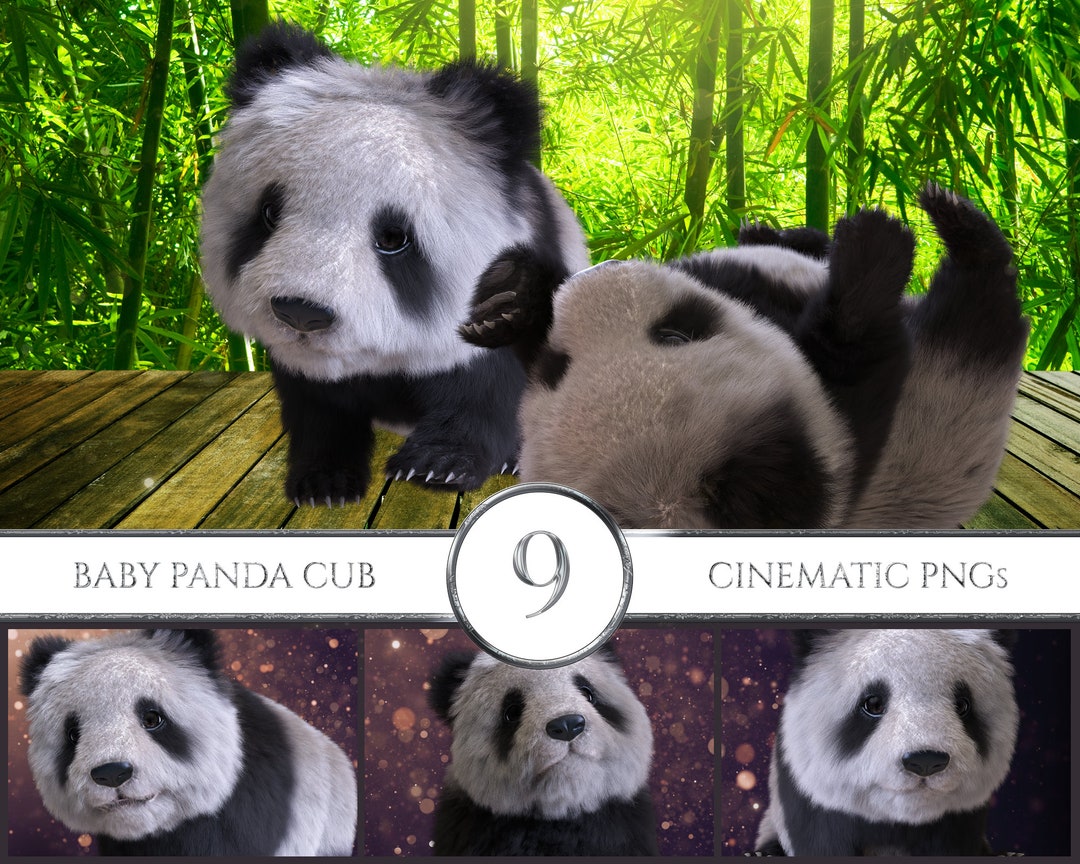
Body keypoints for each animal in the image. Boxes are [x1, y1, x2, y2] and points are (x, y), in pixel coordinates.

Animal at [199, 22, 590, 506]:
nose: (300, 313)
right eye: (269, 213)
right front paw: (324, 482)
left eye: (392, 238)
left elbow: (487, 390)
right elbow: (318, 410)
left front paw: (436, 464)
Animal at [461, 184, 1027, 528]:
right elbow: (858, 356)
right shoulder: (846, 446)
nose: (600, 274)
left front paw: (508, 299)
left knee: (799, 243)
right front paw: (875, 244)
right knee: (981, 307)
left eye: (675, 334)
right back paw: (965, 235)